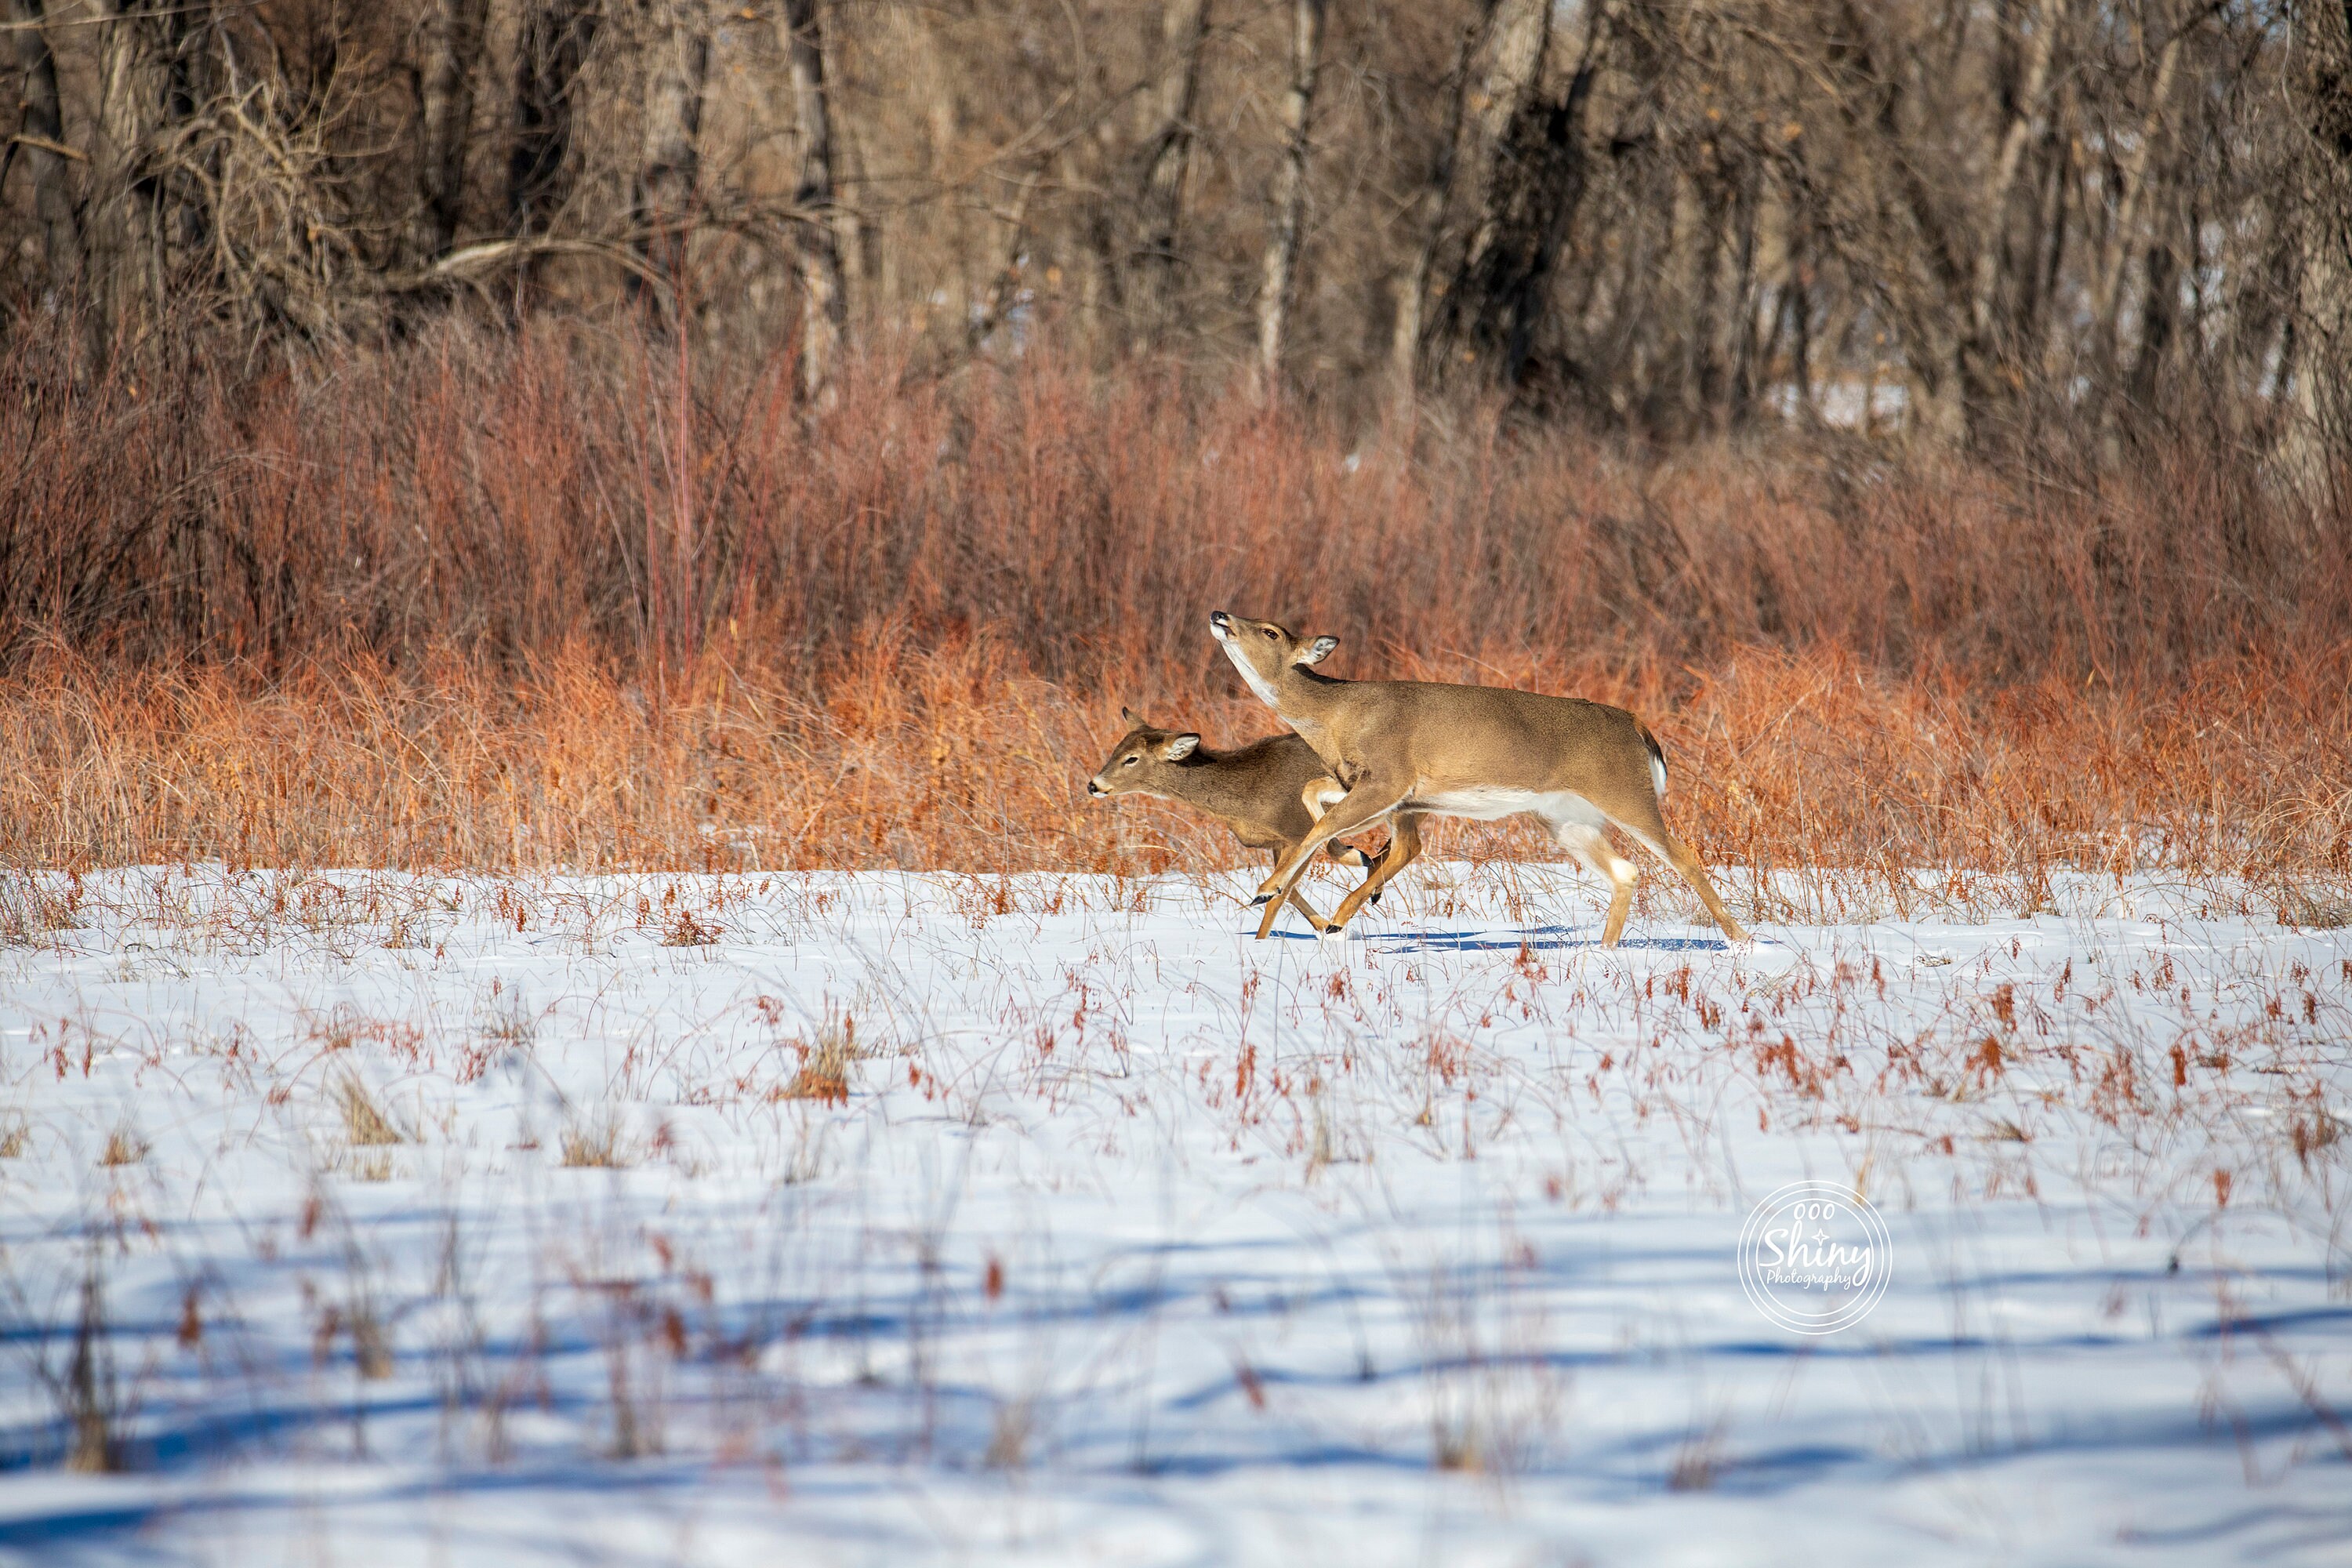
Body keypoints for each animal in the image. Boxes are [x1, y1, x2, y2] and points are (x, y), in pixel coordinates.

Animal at [1086, 708, 1390, 938]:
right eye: (1115, 751)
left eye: (1132, 759)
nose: (1093, 785)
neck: (1248, 797)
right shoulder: (1277, 842)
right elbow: (1288, 891)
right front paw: (1329, 925)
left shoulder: (1297, 831)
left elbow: (1279, 895)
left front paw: (1260, 943)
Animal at [1207, 611, 1750, 947]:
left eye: (1272, 632)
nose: (1219, 615)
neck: (1338, 714)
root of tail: (1636, 726)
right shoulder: (1378, 788)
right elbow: (1313, 799)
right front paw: (1352, 865)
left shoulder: (1390, 779)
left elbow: (1322, 826)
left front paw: (1267, 890)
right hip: (1567, 820)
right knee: (1626, 870)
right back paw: (1604, 950)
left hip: (1625, 793)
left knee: (1682, 855)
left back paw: (1744, 942)